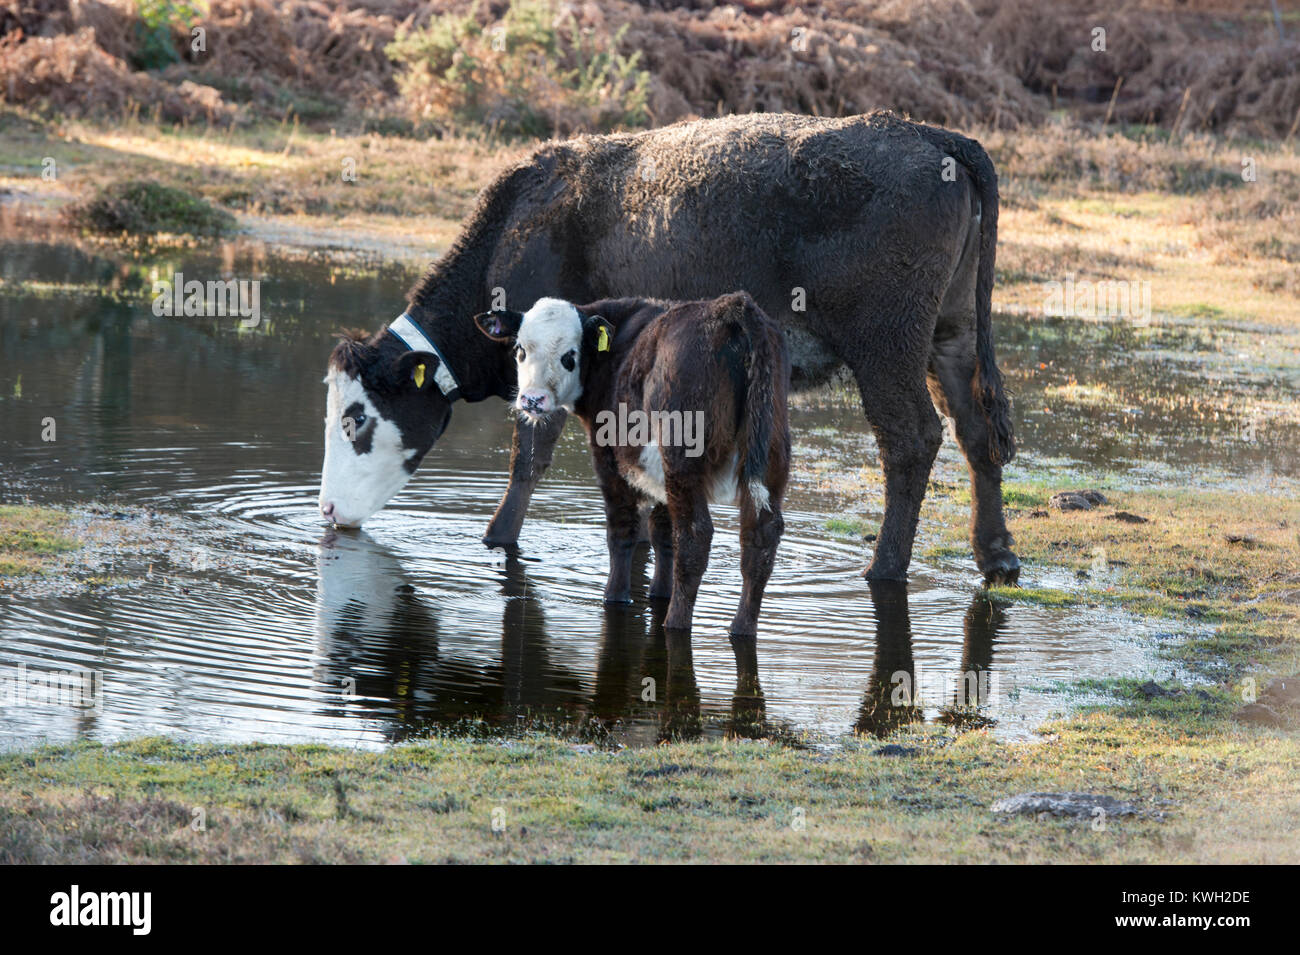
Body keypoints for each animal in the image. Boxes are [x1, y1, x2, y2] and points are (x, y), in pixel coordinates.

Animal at [317, 110, 1019, 584]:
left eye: (355, 420)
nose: (325, 509)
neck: (517, 228)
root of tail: (929, 134)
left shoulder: (546, 367)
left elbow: (528, 456)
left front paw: (496, 538)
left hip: (886, 345)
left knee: (911, 439)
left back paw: (885, 568)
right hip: (949, 332)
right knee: (976, 431)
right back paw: (996, 554)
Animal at [473, 292, 790, 635]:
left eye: (570, 355)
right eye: (520, 350)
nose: (532, 400)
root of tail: (729, 307)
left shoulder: (607, 457)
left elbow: (622, 531)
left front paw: (614, 597)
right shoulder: (660, 477)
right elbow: (662, 534)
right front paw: (659, 592)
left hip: (682, 457)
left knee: (694, 536)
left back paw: (675, 624)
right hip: (770, 457)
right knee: (760, 537)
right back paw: (741, 628)